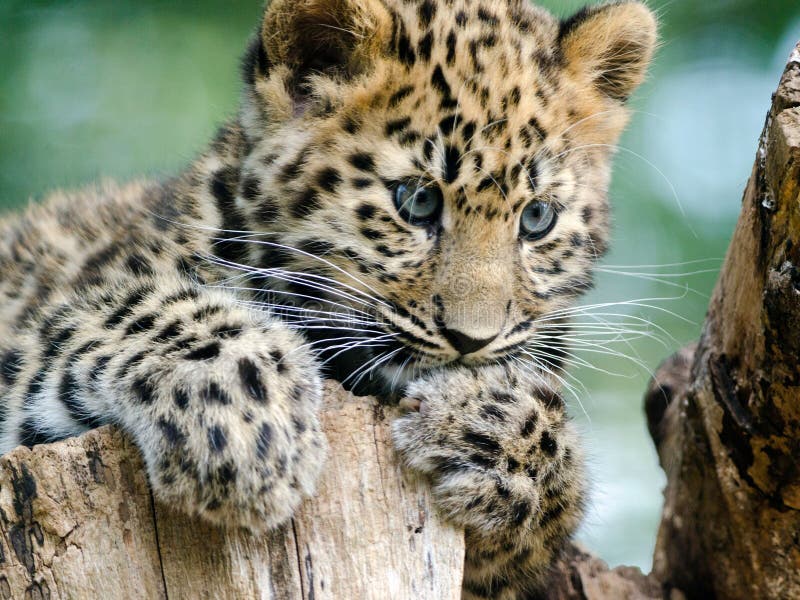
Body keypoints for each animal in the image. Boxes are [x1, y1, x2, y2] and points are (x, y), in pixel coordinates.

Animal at [0, 0, 656, 597]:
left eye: (538, 218)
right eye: (417, 201)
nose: (472, 340)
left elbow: (557, 491)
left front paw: (495, 430)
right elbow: (128, 311)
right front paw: (245, 430)